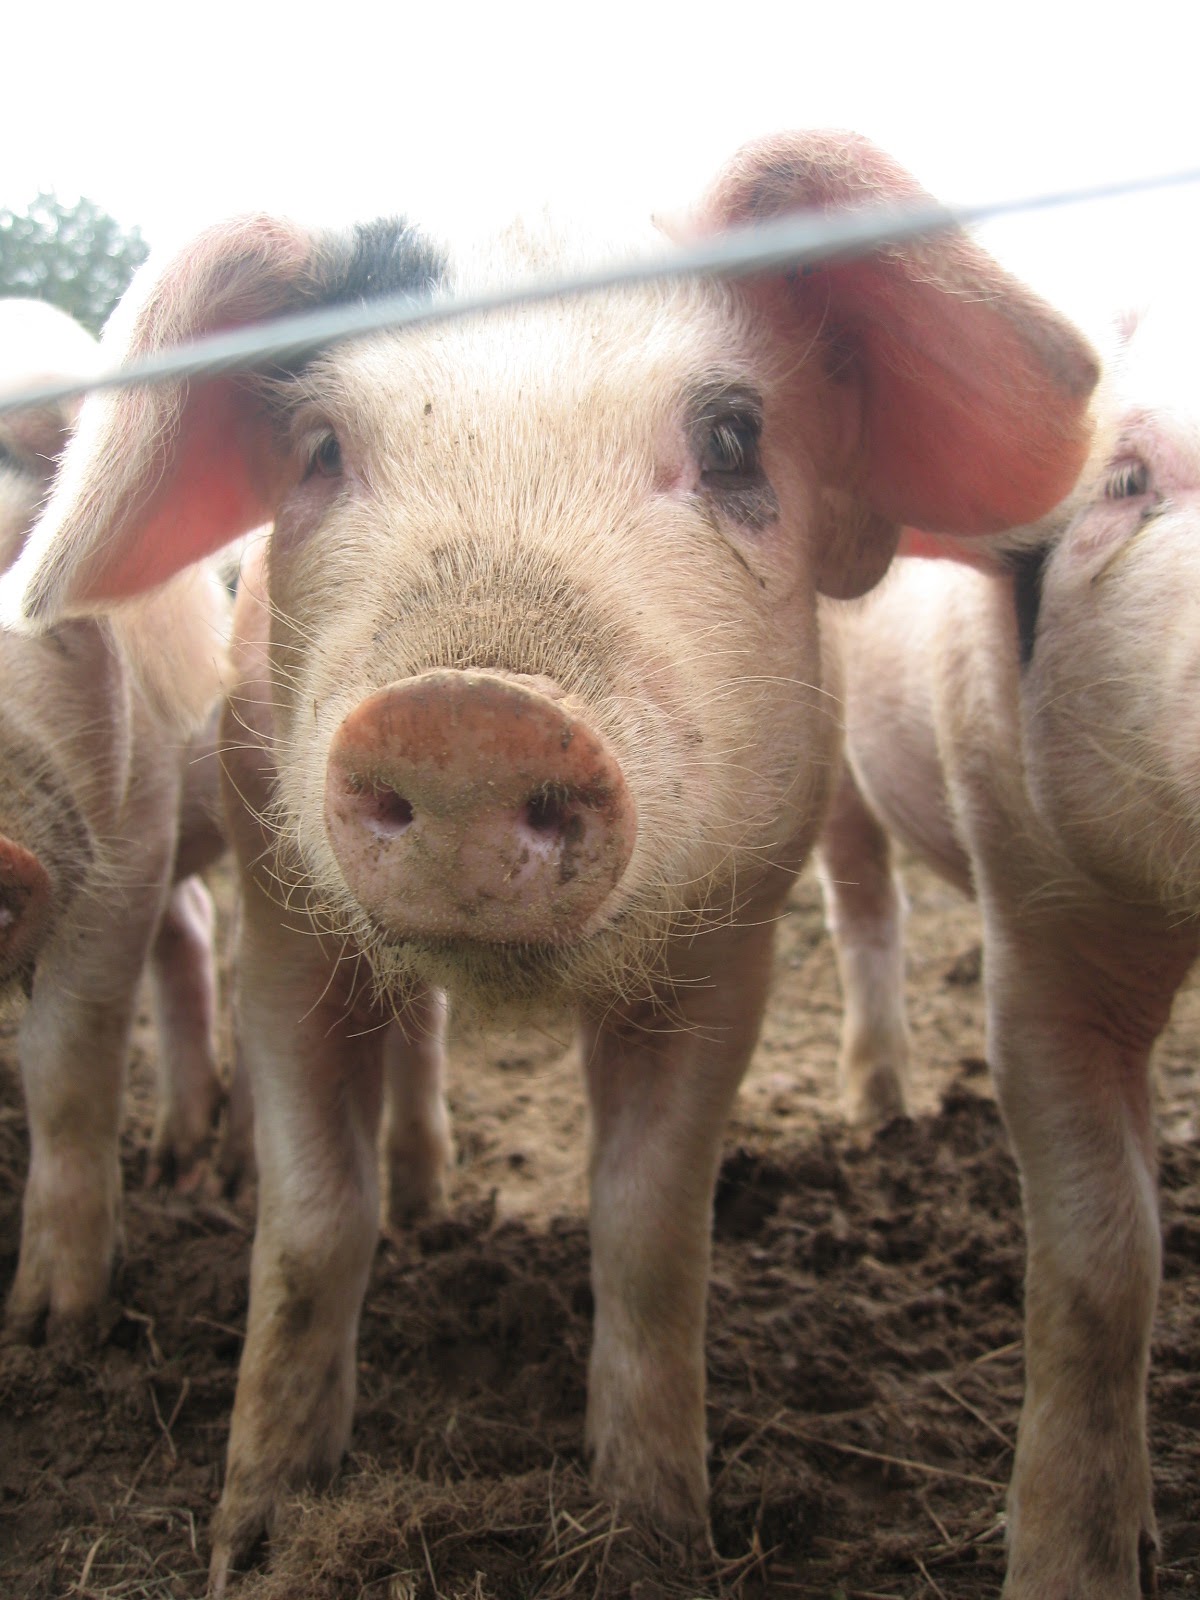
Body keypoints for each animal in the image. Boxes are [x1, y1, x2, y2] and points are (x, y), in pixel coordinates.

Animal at [0, 134, 1099, 1589]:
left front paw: (659, 1533)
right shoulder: (284, 920)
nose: (467, 710)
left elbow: (649, 1230)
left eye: (734, 437)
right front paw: (256, 1529)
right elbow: (309, 1223)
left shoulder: (731, 939)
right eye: (320, 447)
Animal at [816, 307, 1196, 1596]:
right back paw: (879, 1109)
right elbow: (1103, 1258)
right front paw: (1075, 1571)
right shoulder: (1037, 921)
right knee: (864, 905)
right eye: (1125, 482)